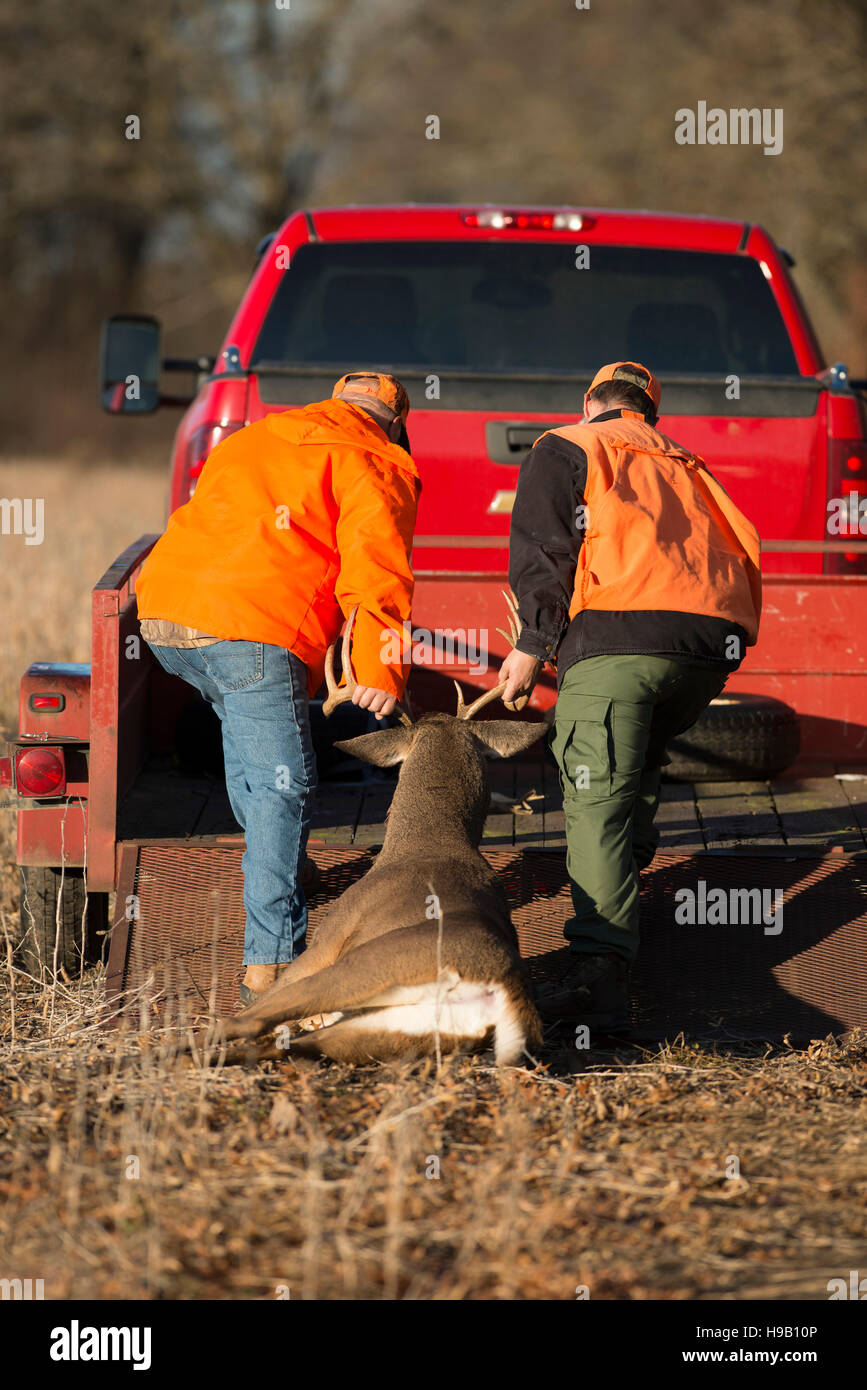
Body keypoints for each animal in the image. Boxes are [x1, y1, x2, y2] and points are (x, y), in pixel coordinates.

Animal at [213, 594, 545, 1067]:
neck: (430, 837)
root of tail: (493, 989)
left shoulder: (329, 938)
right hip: (376, 1030)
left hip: (358, 966)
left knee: (245, 1022)